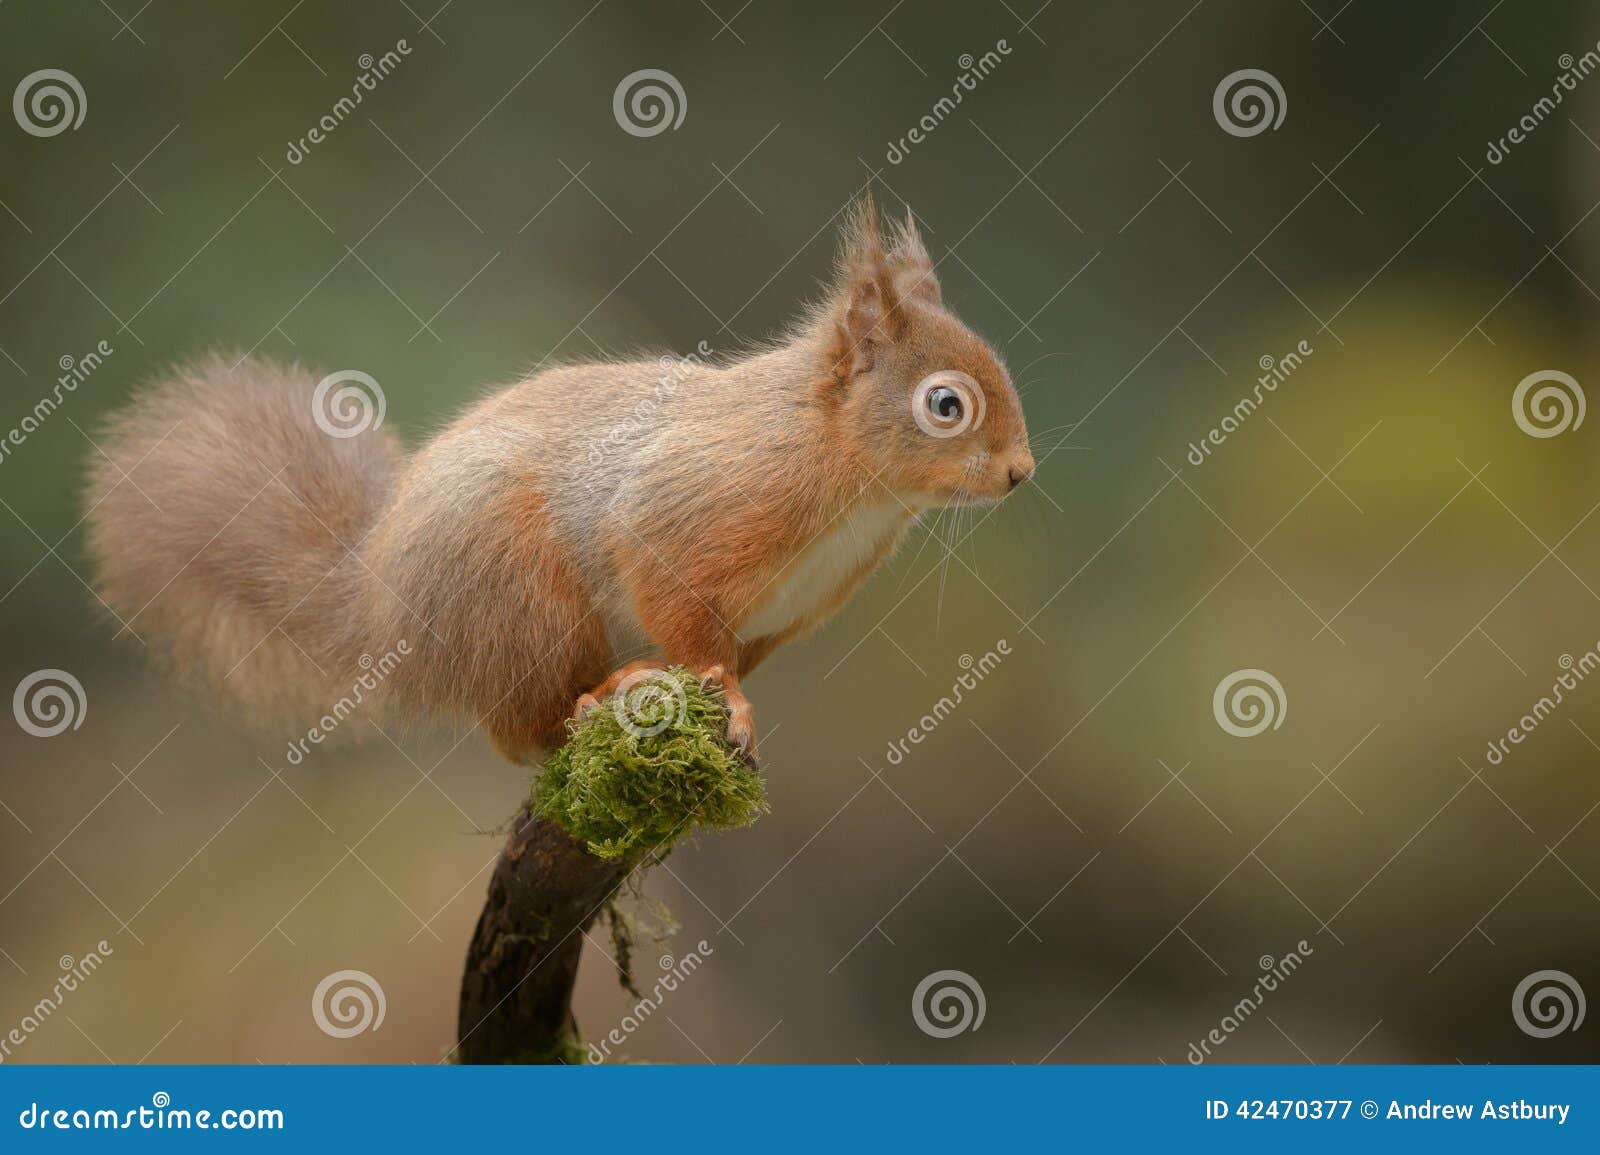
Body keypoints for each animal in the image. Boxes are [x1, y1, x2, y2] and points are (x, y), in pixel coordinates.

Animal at [84, 196, 1034, 764]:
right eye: (945, 404)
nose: (1021, 473)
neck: (854, 483)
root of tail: (383, 610)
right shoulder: (696, 502)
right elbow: (681, 610)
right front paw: (724, 698)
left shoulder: (786, 610)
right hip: (518, 592)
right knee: (523, 730)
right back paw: (598, 695)